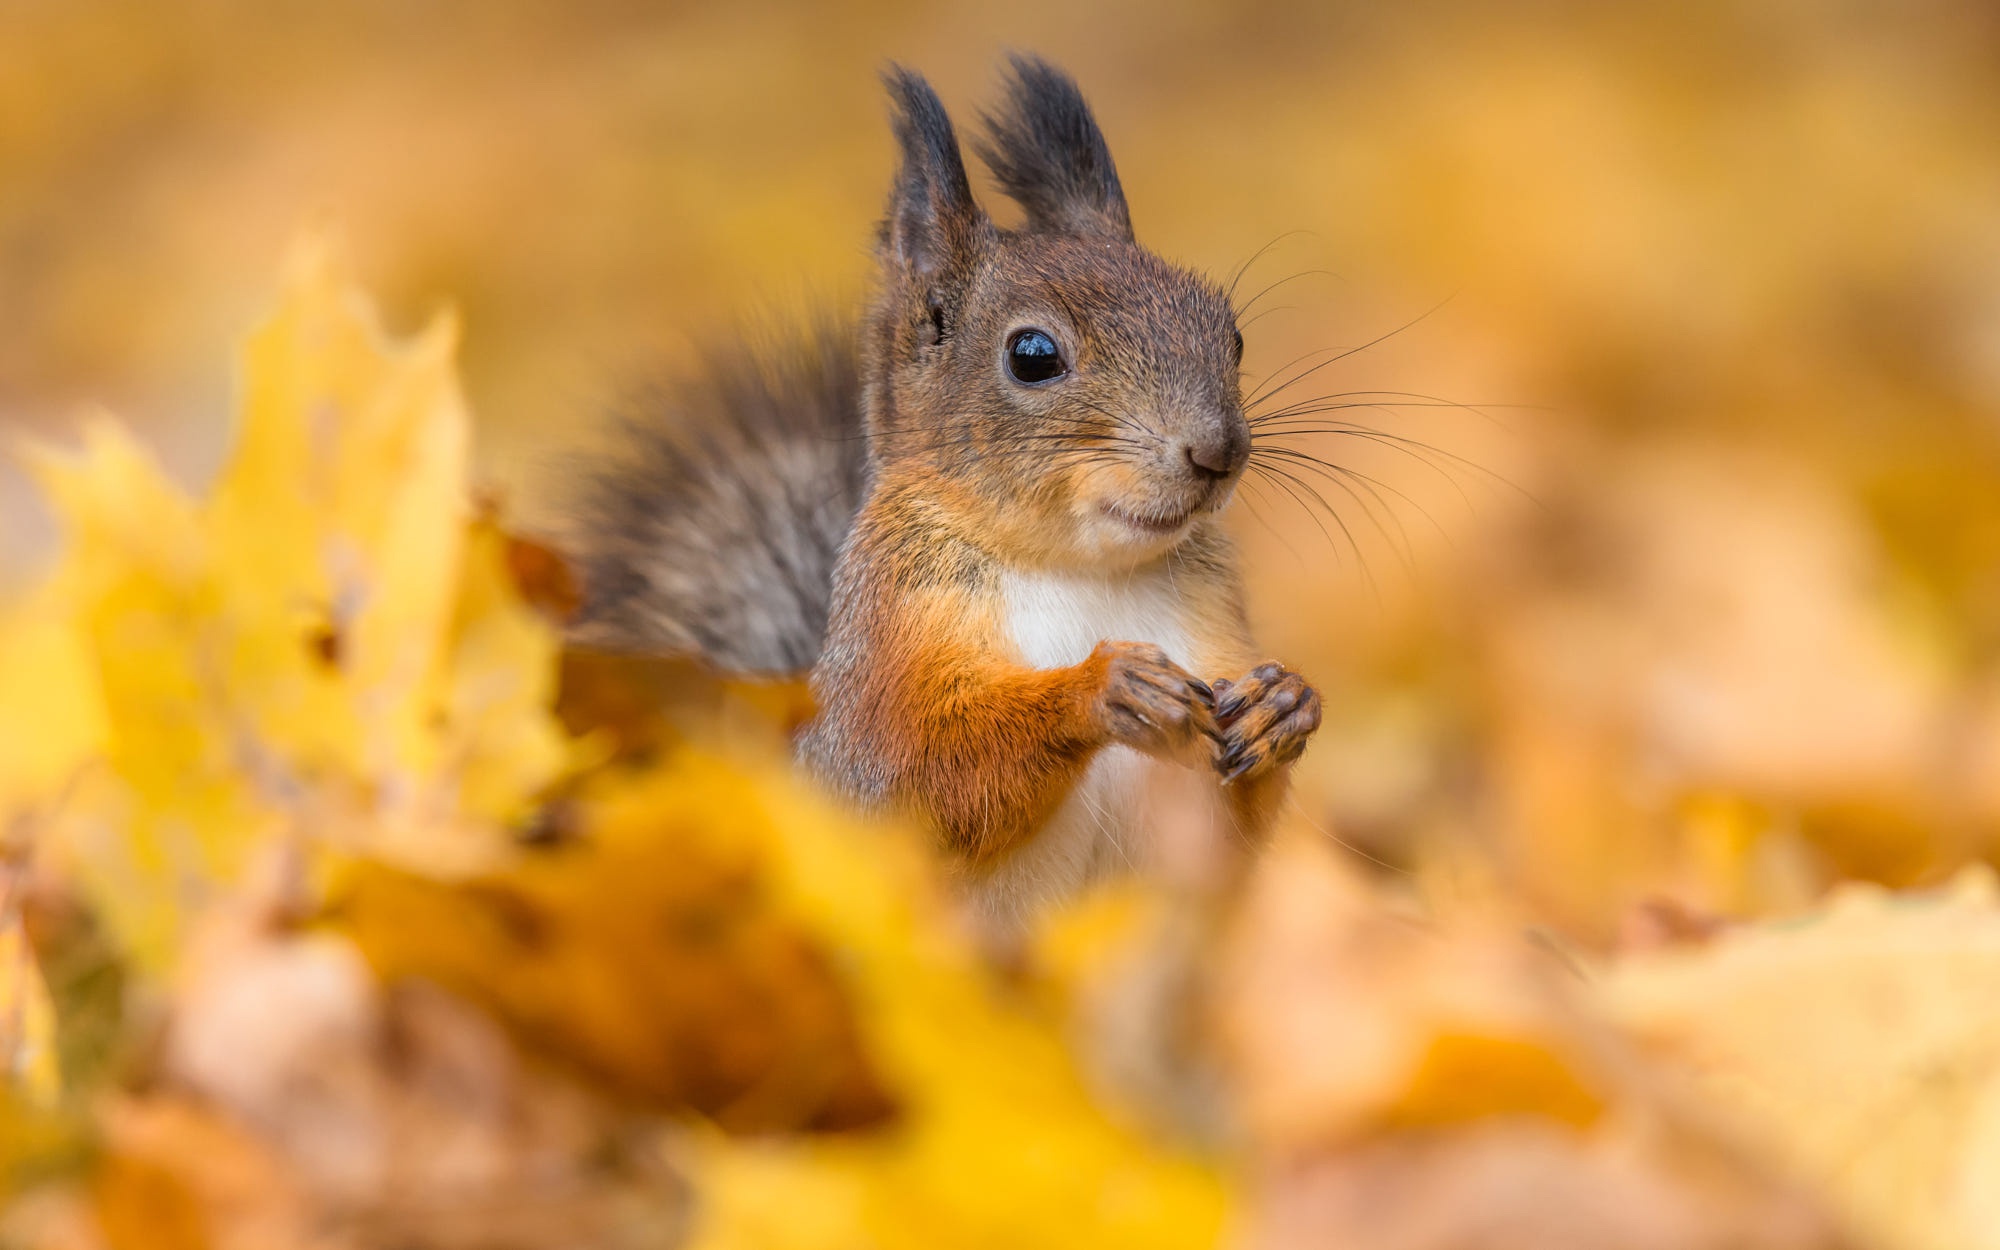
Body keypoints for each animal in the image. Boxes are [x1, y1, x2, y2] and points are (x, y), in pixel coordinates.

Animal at [568, 55, 1322, 927]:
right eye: (1033, 356)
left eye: (1231, 332)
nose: (1219, 449)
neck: (1083, 572)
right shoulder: (886, 656)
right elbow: (926, 780)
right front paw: (1101, 687)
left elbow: (1224, 840)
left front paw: (1283, 706)